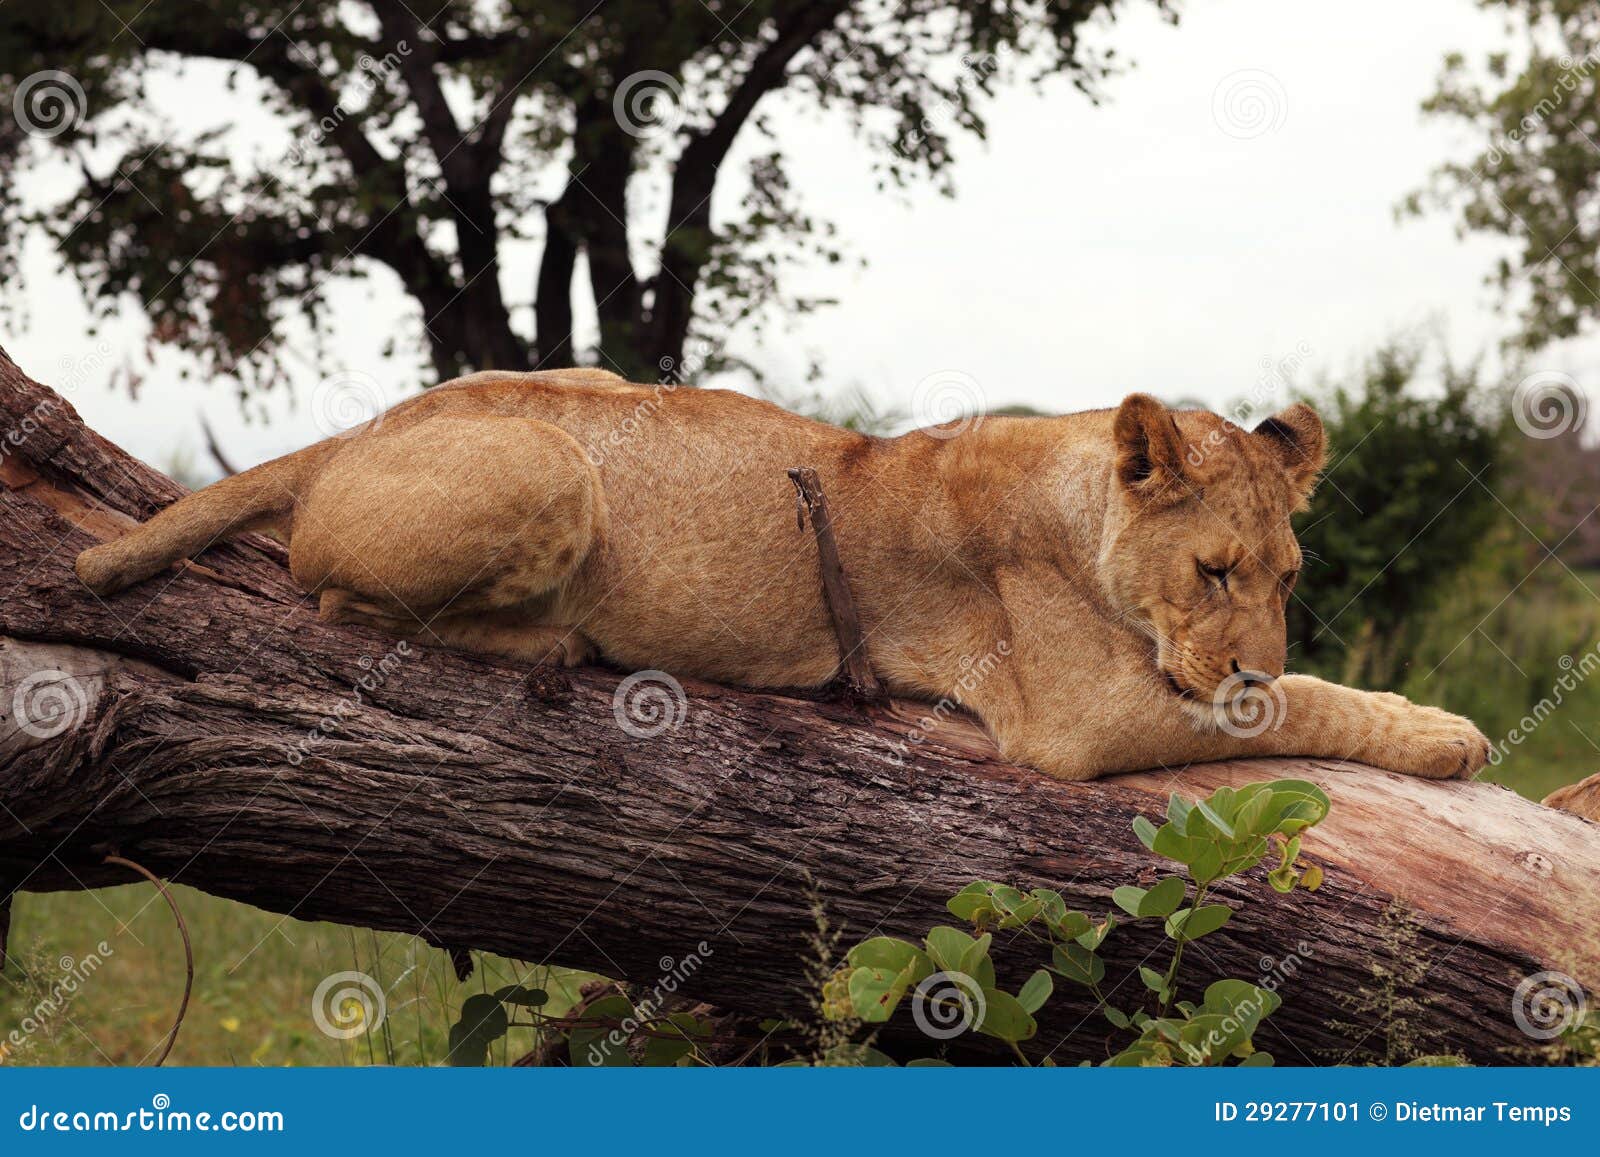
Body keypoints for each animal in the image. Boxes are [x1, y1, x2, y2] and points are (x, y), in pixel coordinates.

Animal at [75, 369, 1490, 782]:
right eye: (1212, 568)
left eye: (1287, 573)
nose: (1239, 639)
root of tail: (361, 428)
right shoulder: (1078, 719)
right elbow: (1291, 700)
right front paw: (1446, 734)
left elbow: (1292, 687)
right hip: (554, 456)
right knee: (337, 602)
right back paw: (557, 645)